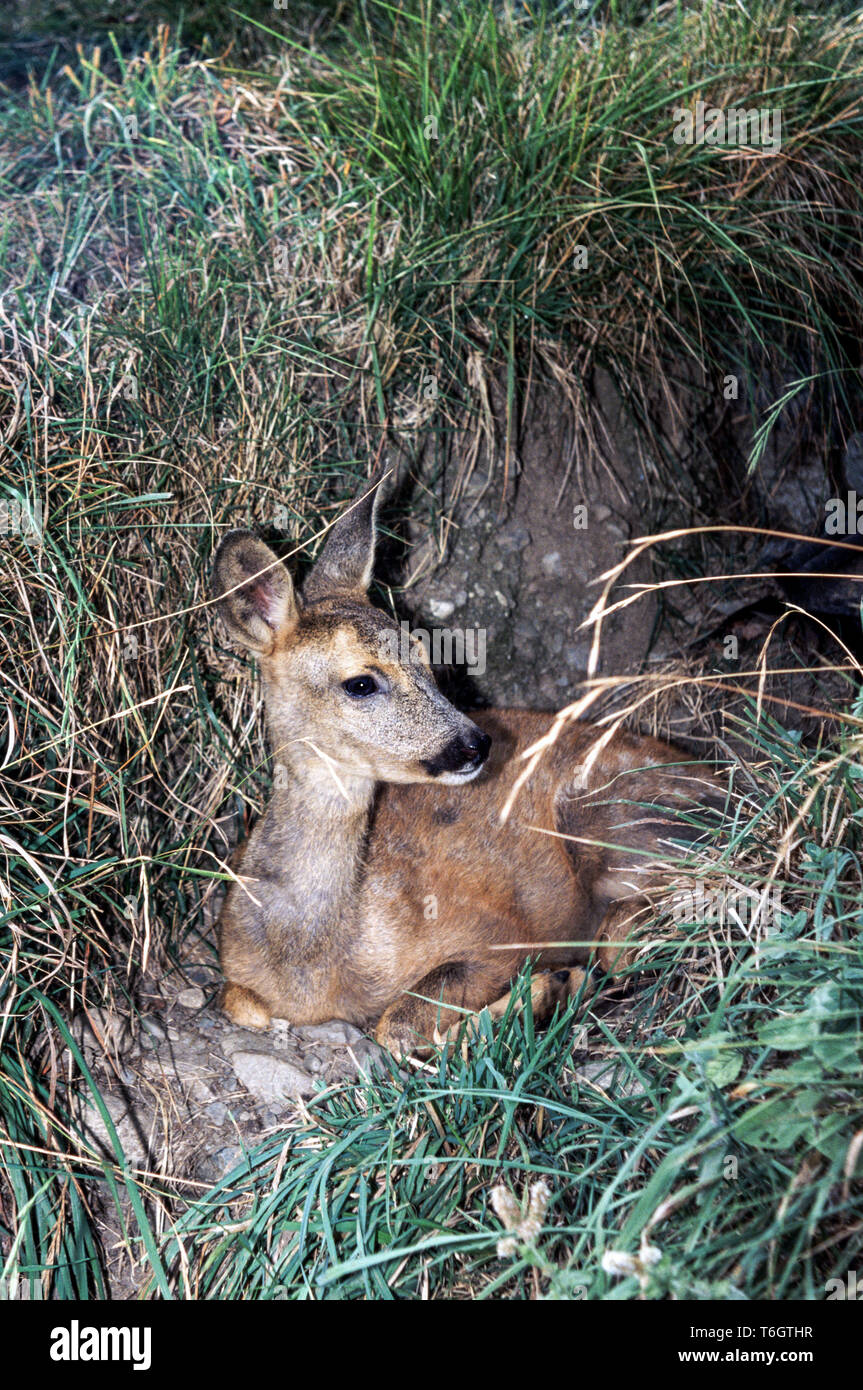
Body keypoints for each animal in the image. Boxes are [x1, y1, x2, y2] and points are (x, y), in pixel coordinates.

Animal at [211, 473, 723, 1057]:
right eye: (360, 682)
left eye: (424, 654)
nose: (475, 743)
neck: (322, 954)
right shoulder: (236, 968)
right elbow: (240, 1004)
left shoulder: (496, 933)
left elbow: (398, 1022)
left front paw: (545, 989)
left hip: (622, 817)